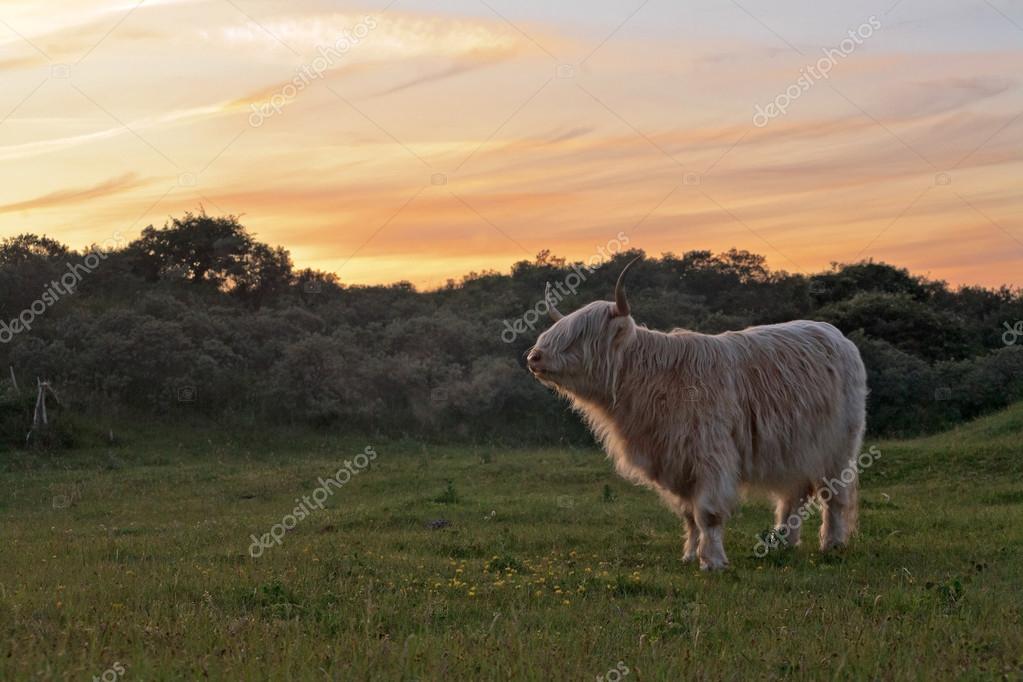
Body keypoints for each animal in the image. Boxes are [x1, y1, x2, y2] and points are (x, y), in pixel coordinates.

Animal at [526, 257, 867, 570]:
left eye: (579, 334)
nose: (534, 357)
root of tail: (835, 334)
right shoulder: (676, 460)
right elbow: (689, 514)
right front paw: (690, 555)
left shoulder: (710, 454)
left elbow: (708, 513)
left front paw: (713, 561)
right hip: (794, 448)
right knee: (792, 496)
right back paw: (783, 543)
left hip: (837, 447)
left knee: (834, 496)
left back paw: (832, 544)